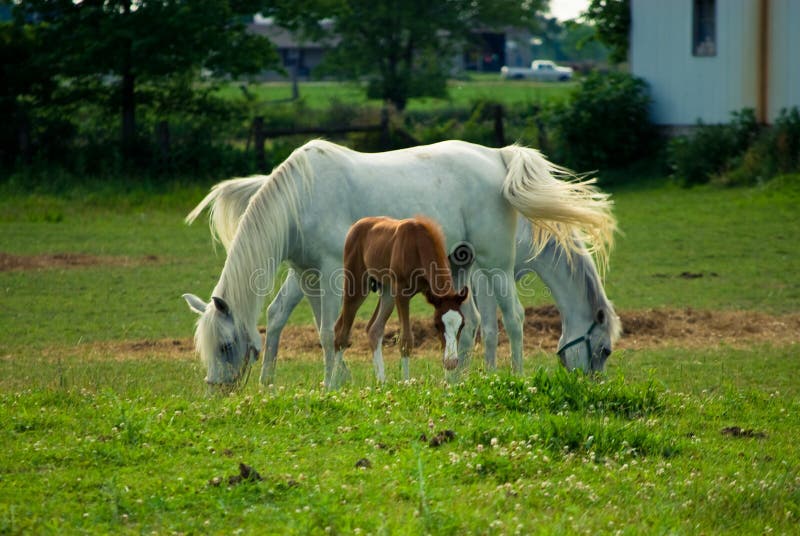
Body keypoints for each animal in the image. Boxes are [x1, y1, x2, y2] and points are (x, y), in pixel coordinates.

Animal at [333, 216, 470, 381]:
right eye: (436, 325)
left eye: (462, 325)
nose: (451, 362)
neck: (418, 243)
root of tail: (356, 226)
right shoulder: (401, 292)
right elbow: (406, 340)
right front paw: (406, 383)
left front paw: (449, 381)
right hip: (357, 285)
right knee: (341, 332)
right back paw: (330, 383)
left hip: (387, 292)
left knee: (374, 329)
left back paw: (382, 382)